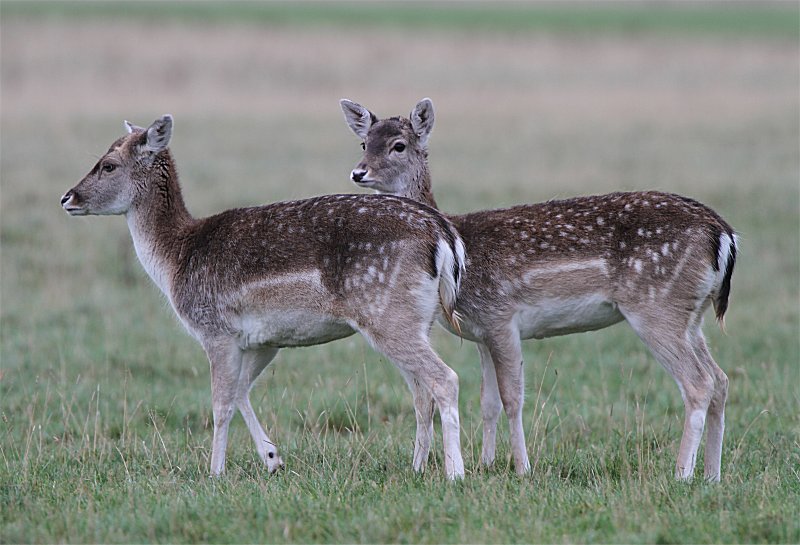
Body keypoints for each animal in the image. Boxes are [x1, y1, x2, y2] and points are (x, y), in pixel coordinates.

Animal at [60, 114, 469, 479]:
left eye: (109, 165)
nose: (67, 197)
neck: (176, 260)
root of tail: (443, 234)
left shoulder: (215, 331)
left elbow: (221, 403)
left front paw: (215, 473)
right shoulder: (263, 340)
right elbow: (242, 391)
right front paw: (273, 459)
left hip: (387, 315)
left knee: (445, 378)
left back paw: (455, 473)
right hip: (420, 320)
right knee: (421, 390)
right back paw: (418, 468)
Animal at [340, 98, 738, 482]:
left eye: (398, 145)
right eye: (364, 142)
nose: (359, 172)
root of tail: (723, 235)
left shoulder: (501, 315)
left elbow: (512, 397)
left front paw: (521, 468)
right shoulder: (481, 332)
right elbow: (488, 401)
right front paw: (486, 464)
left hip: (656, 306)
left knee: (699, 383)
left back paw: (682, 474)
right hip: (691, 315)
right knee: (720, 379)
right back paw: (712, 474)